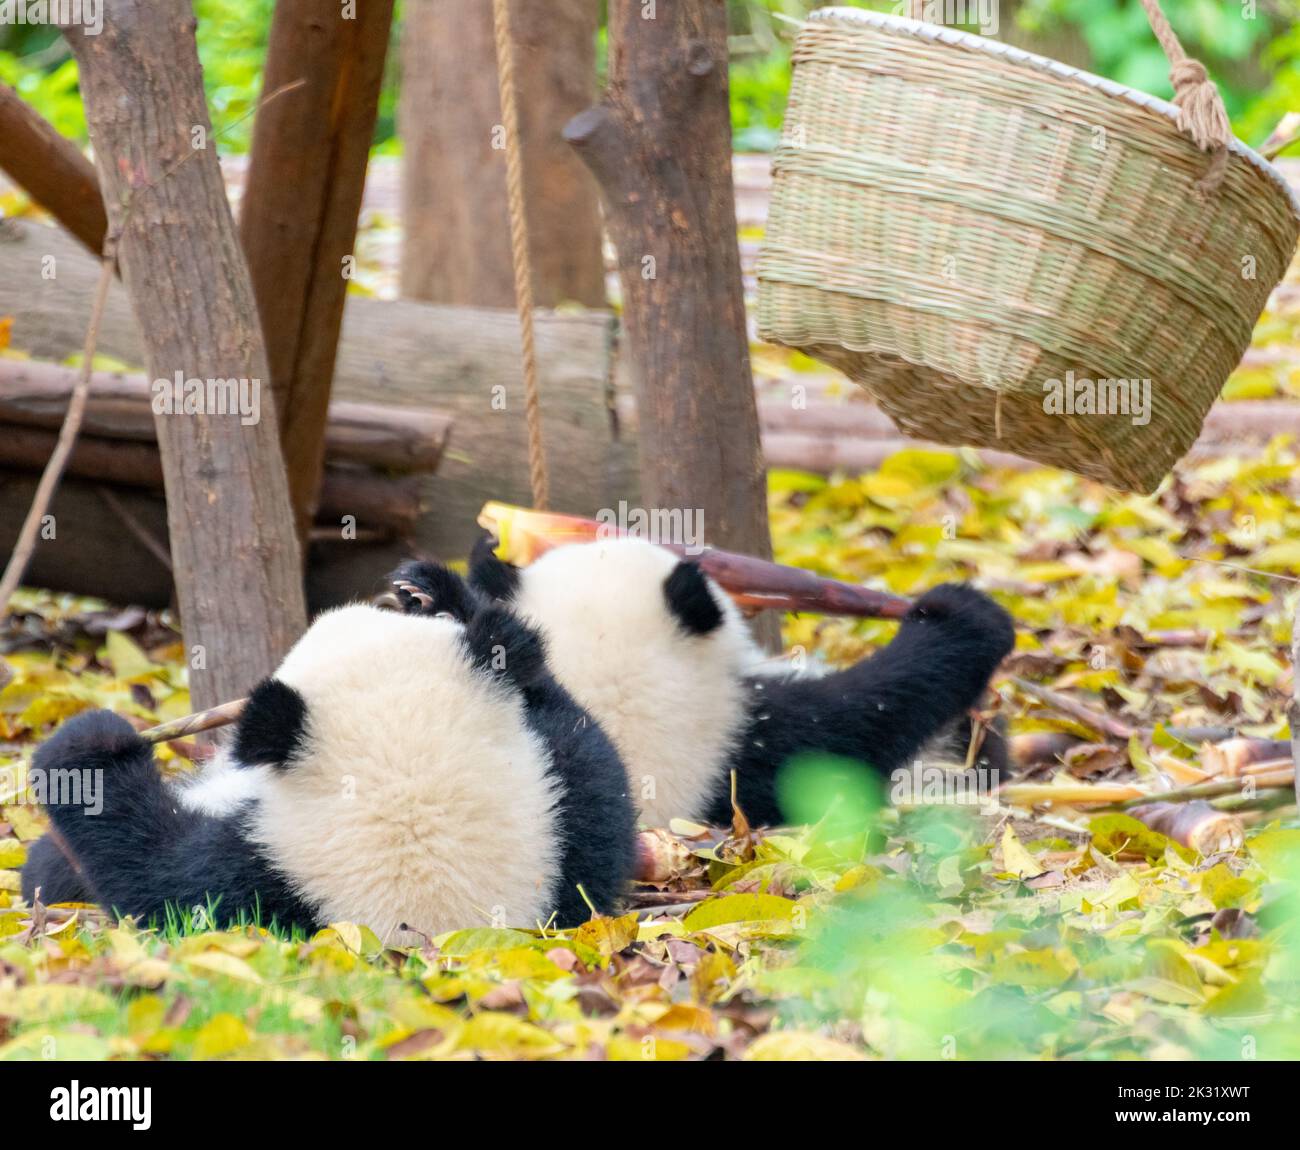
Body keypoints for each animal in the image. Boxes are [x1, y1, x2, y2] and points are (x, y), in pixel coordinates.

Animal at [21, 600, 637, 938]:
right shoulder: (568, 820)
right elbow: (595, 760)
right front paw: (436, 589)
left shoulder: (257, 879)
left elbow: (154, 878)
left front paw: (88, 748)